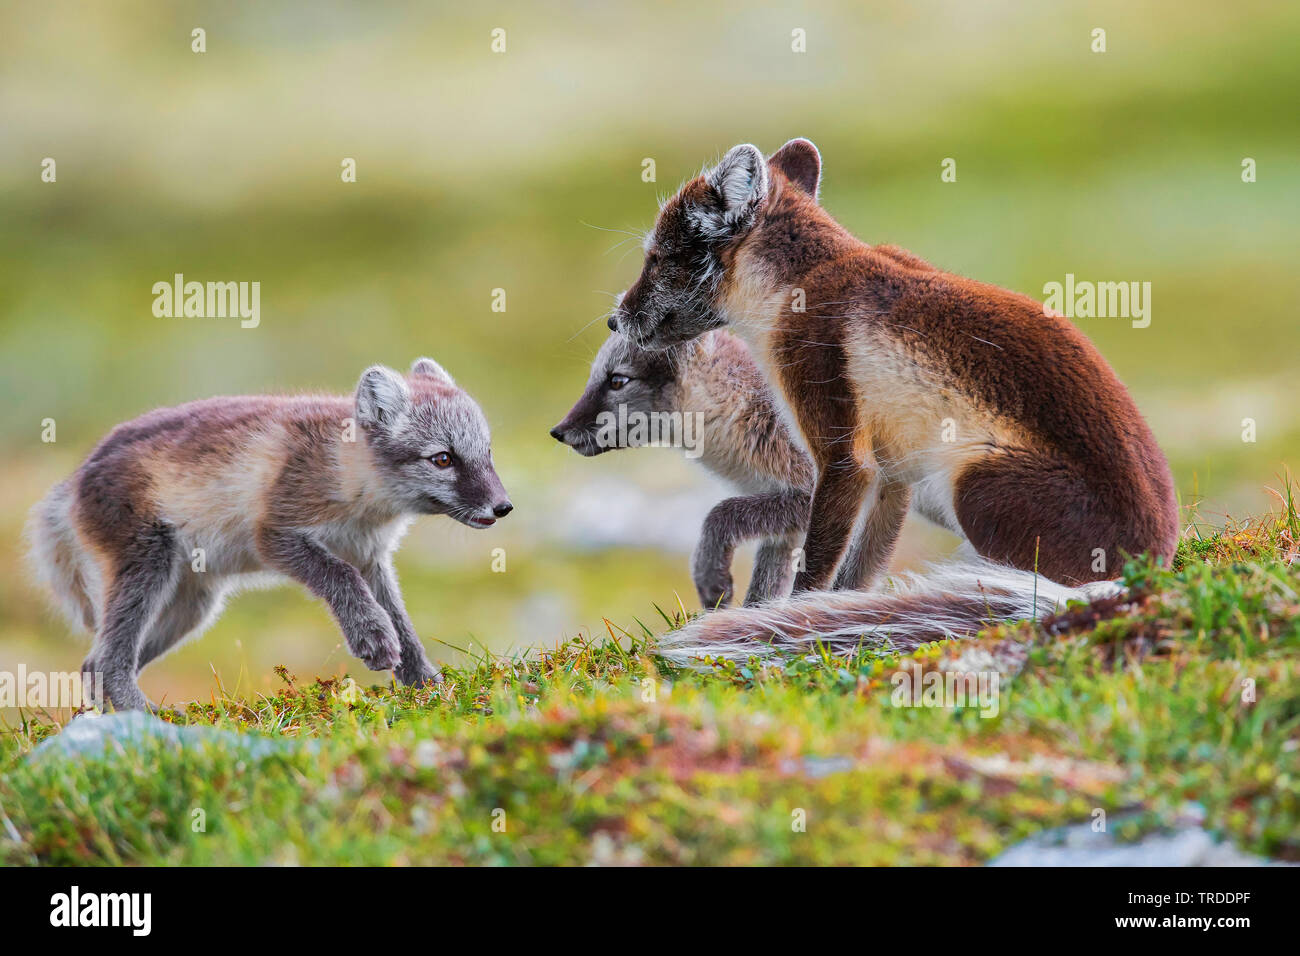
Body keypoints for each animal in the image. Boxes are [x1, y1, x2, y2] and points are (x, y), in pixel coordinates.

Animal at [25, 358, 513, 711]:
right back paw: (145, 717)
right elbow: (340, 578)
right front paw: (372, 639)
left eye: (487, 453)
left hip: (191, 608)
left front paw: (425, 685)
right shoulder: (277, 535)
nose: (503, 507)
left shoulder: (371, 558)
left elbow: (403, 623)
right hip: (149, 569)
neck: (352, 483)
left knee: (91, 665)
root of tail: (75, 478)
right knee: (107, 662)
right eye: (443, 459)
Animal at [609, 138, 1179, 661]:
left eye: (658, 258)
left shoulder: (843, 456)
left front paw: (793, 618)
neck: (796, 283)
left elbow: (816, 566)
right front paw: (833, 616)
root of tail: (1148, 569)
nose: (615, 319)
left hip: (974, 486)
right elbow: (856, 575)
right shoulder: (891, 473)